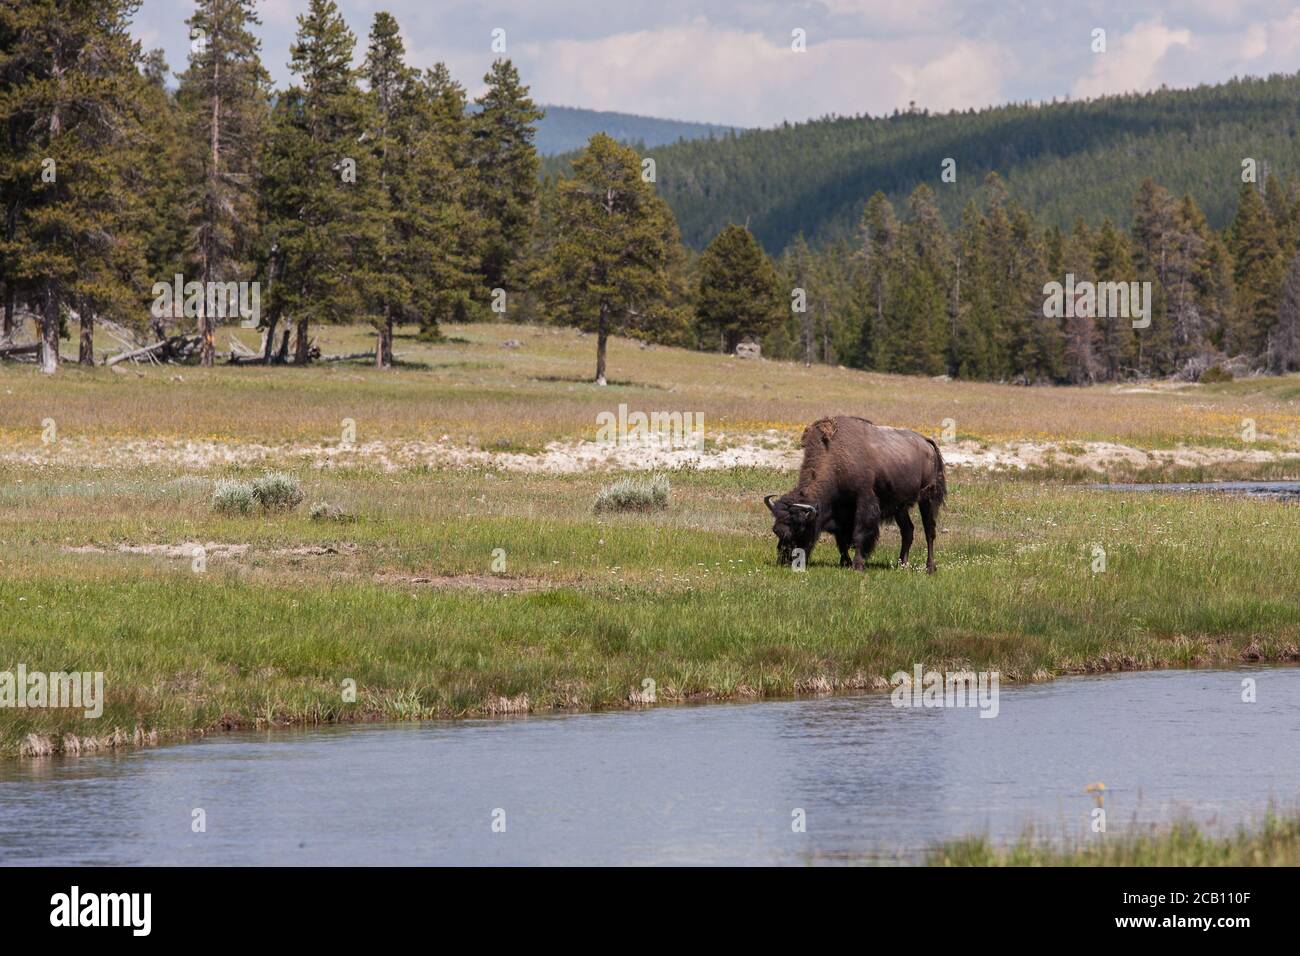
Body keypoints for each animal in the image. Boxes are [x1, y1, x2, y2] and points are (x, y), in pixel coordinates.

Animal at [764, 416, 946, 572]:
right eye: (776, 530)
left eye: (800, 528)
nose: (785, 560)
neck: (836, 458)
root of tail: (927, 443)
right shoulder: (841, 513)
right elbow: (842, 539)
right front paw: (845, 562)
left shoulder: (864, 503)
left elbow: (859, 534)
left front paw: (858, 565)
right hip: (900, 507)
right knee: (908, 531)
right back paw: (902, 565)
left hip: (927, 499)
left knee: (929, 531)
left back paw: (930, 568)